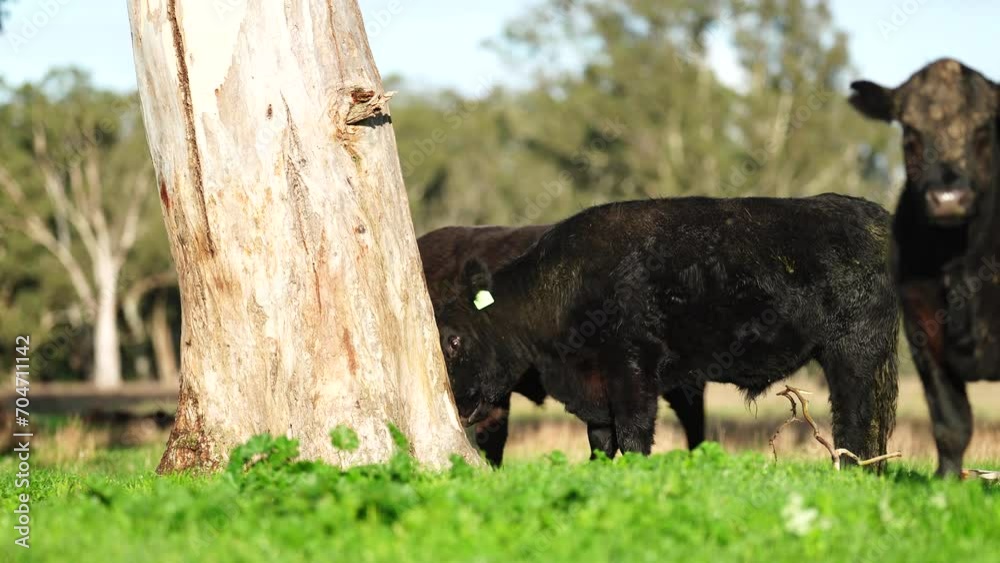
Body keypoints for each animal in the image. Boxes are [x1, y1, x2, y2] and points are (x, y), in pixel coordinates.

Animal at [849, 58, 1000, 477]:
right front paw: (946, 482)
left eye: (983, 127)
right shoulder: (923, 329)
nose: (948, 198)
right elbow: (951, 425)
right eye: (911, 130)